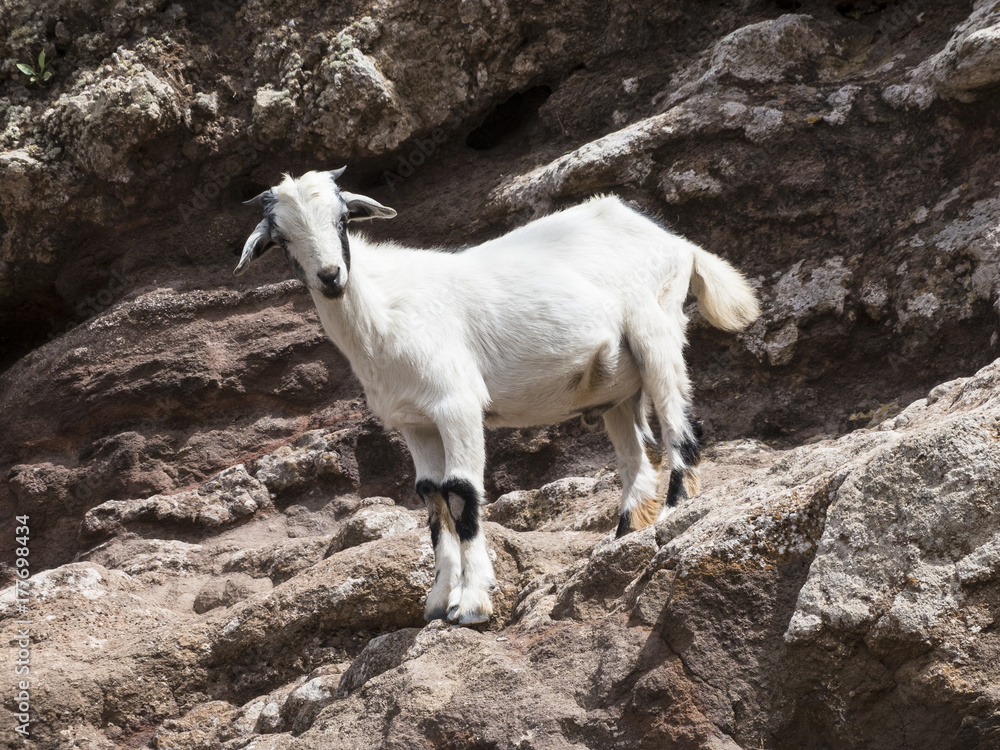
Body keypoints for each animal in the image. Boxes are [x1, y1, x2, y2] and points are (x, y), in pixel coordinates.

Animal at [236, 169, 760, 625]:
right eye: (281, 238)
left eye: (342, 219)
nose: (330, 276)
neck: (384, 313)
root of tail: (675, 243)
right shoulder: (414, 422)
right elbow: (432, 500)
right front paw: (438, 600)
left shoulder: (456, 403)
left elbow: (461, 493)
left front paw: (471, 604)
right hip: (616, 388)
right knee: (636, 461)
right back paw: (623, 538)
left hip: (657, 329)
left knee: (680, 426)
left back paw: (674, 514)